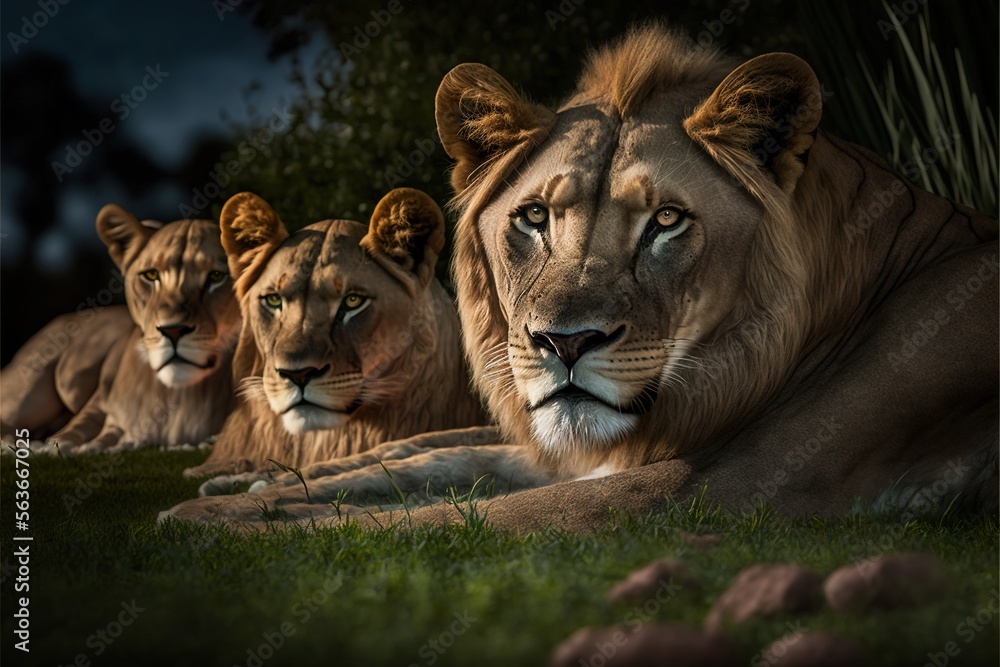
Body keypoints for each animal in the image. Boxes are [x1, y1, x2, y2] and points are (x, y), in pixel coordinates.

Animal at [1, 205, 240, 452]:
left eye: (217, 276)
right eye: (151, 275)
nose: (173, 331)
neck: (181, 395)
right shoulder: (101, 403)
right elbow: (80, 430)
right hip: (26, 396)